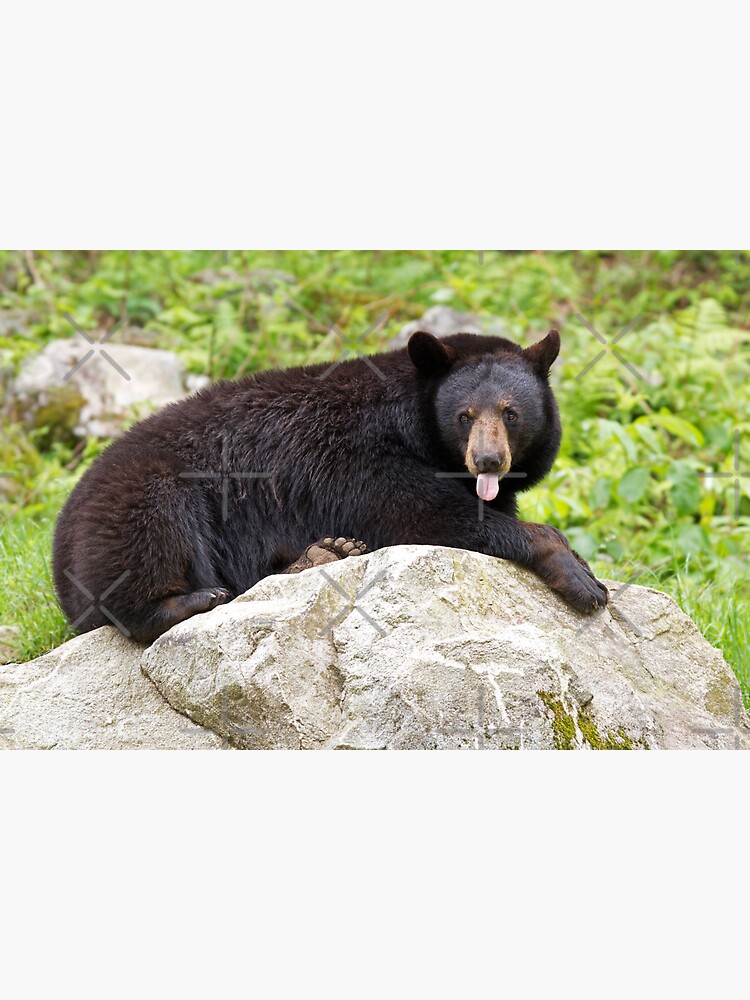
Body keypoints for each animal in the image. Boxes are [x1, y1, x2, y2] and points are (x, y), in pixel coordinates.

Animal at [52, 329, 608, 644]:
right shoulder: (360, 457)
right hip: (139, 493)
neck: (411, 421)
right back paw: (198, 599)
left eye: (511, 413)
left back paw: (322, 553)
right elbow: (420, 515)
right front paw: (581, 576)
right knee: (150, 542)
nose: (488, 459)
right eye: (464, 414)